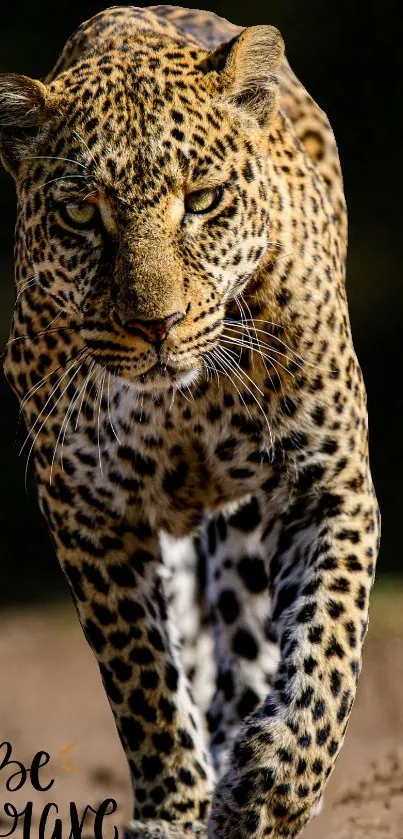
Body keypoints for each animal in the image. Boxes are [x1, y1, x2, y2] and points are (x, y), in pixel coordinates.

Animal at [0, 5, 380, 838]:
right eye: (80, 213)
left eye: (202, 201)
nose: (157, 325)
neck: (182, 400)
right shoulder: (88, 509)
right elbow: (142, 678)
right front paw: (174, 808)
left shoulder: (328, 479)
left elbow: (328, 646)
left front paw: (275, 784)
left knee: (251, 647)